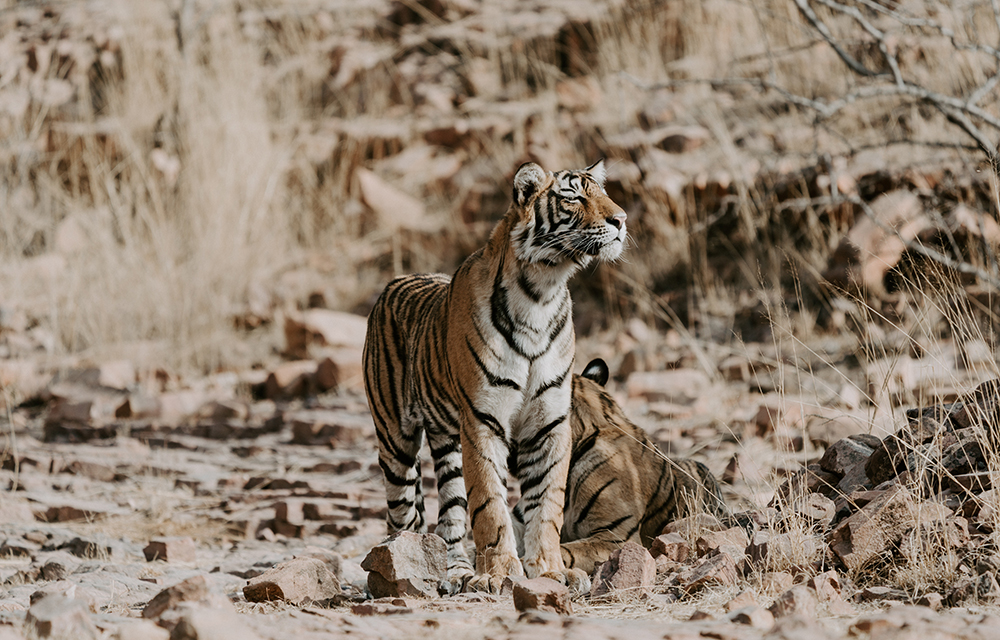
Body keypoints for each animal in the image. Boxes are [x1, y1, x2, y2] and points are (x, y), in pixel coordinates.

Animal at [363, 160, 627, 594]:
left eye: (604, 194)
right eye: (573, 197)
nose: (621, 220)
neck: (542, 292)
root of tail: (395, 281)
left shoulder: (549, 422)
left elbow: (546, 505)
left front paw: (549, 570)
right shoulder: (483, 420)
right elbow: (490, 504)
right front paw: (501, 573)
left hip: (449, 444)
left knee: (451, 514)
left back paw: (457, 574)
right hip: (395, 442)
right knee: (402, 516)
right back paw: (396, 574)